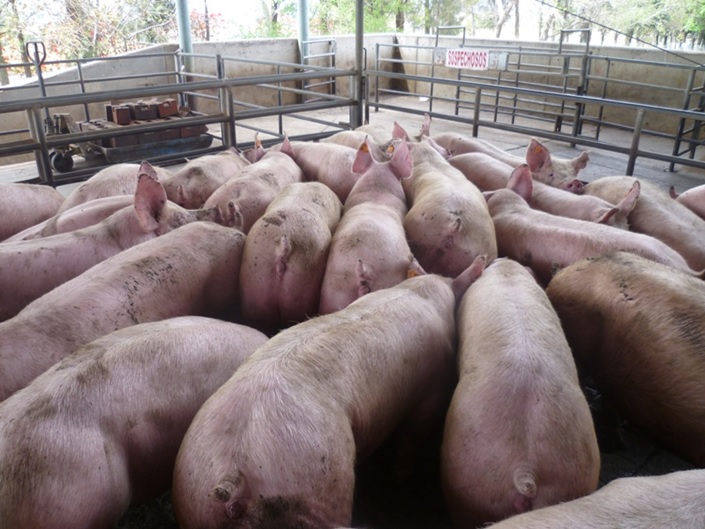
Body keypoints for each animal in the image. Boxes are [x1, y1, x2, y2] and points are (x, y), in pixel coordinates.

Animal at [171, 256, 486, 529]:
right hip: (319, 488)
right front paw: (402, 477)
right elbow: (412, 434)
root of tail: (233, 474)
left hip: (194, 502)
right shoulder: (434, 386)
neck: (423, 293)